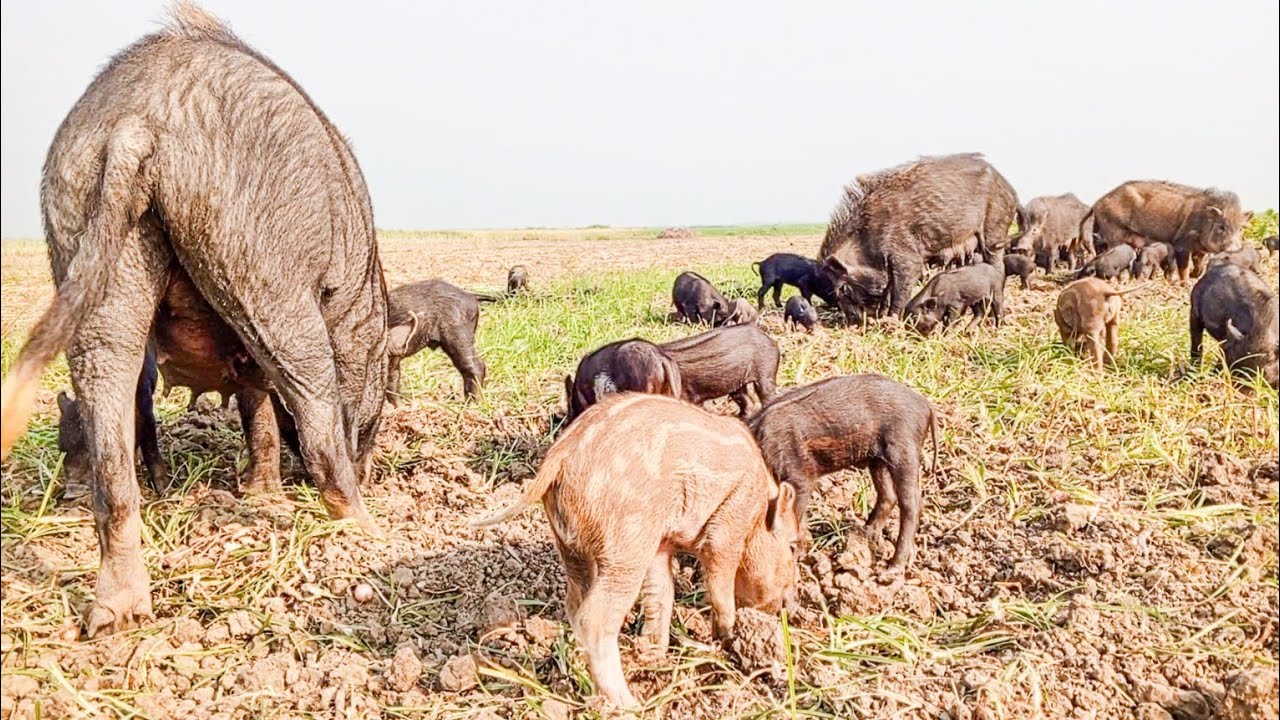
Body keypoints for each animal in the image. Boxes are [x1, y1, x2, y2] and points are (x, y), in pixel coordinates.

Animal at [0, 4, 387, 636]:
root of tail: (135, 121)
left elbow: (256, 409)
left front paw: (259, 495)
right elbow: (275, 406)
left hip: (86, 226)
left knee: (110, 379)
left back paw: (117, 613)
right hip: (261, 256)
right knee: (312, 400)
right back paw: (366, 530)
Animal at [475, 393, 800, 708]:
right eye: (793, 547)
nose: (788, 605)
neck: (759, 513)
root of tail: (561, 456)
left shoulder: (659, 547)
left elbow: (660, 596)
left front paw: (655, 655)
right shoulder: (728, 529)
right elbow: (720, 592)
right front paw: (726, 639)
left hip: (572, 548)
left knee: (575, 604)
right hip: (625, 548)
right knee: (594, 619)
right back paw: (628, 704)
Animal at [749, 374, 938, 575]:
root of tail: (925, 404)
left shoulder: (801, 477)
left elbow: (796, 516)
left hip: (904, 450)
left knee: (912, 503)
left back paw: (892, 567)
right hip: (877, 460)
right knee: (888, 495)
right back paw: (866, 534)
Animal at [818, 153, 1023, 317]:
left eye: (843, 289)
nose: (853, 323)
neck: (866, 241)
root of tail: (1011, 189)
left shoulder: (905, 255)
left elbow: (900, 290)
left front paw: (891, 320)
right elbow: (890, 289)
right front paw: (883, 316)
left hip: (995, 229)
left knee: (998, 267)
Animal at [1082, 181, 1252, 283]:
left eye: (1240, 228)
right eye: (1221, 226)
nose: (1235, 248)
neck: (1203, 222)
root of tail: (1096, 203)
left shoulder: (1200, 250)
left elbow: (1199, 264)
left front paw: (1195, 276)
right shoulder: (1182, 243)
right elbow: (1184, 265)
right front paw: (1186, 282)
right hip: (1113, 231)